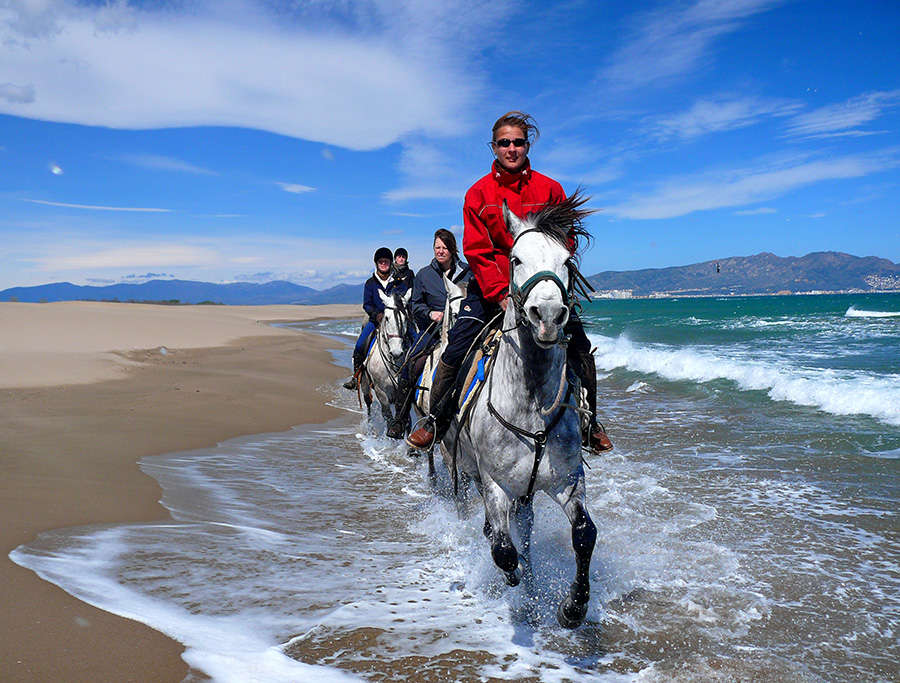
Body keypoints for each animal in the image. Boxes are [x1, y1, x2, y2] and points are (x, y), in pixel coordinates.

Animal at [359, 288, 412, 427]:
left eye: (405, 318)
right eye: (387, 318)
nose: (396, 352)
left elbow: (404, 418)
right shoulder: (381, 391)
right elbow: (388, 417)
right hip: (365, 383)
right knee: (368, 403)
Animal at [442, 193, 597, 629]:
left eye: (567, 261)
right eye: (514, 258)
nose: (548, 316)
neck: (531, 404)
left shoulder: (568, 481)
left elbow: (584, 534)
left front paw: (572, 607)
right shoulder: (494, 483)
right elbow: (502, 548)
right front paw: (513, 580)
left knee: (524, 531)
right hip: (470, 469)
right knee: (501, 533)